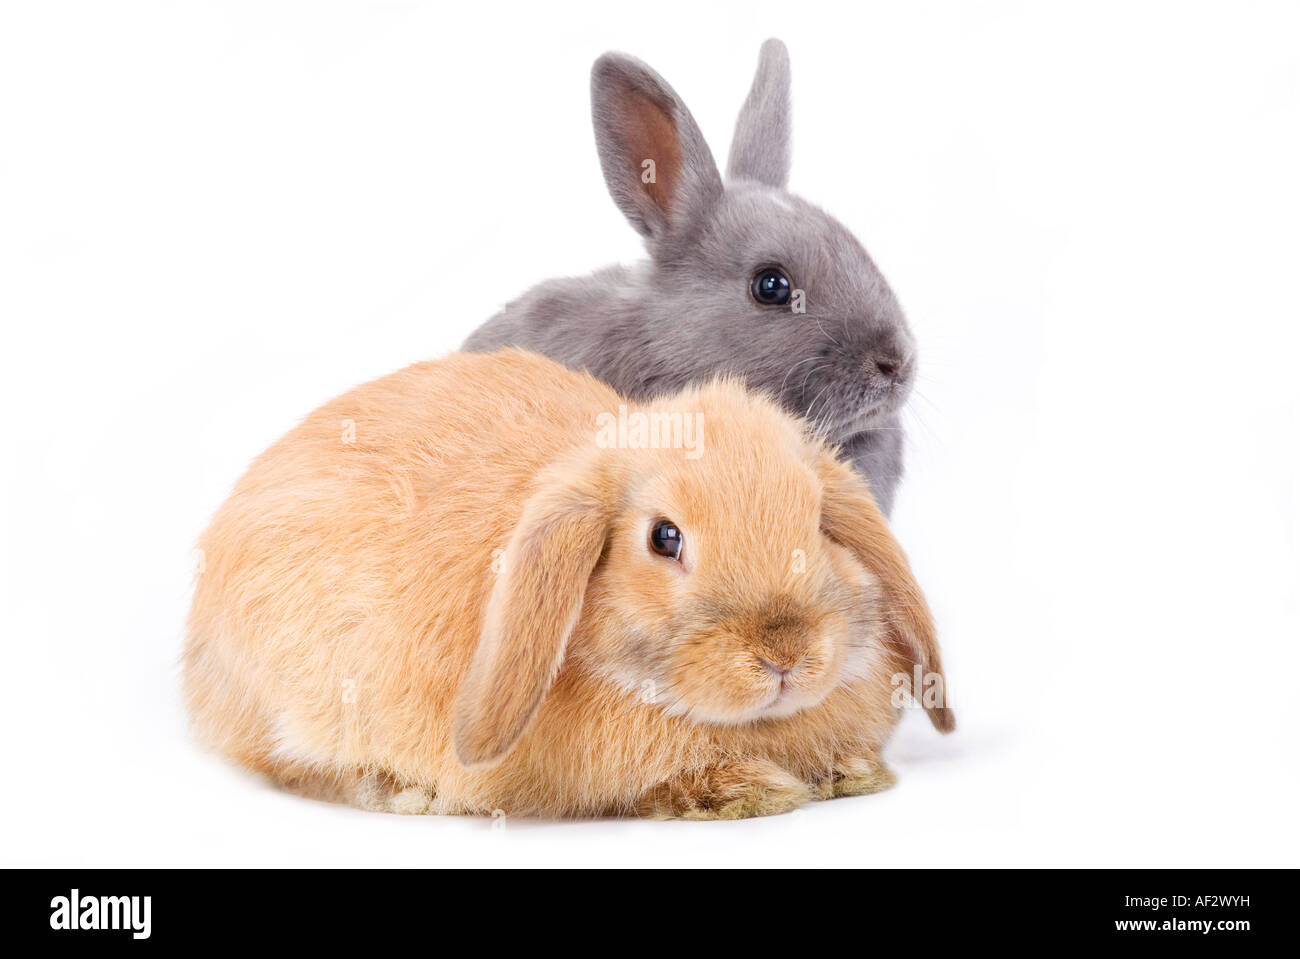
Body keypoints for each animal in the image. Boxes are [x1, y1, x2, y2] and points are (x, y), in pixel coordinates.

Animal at [183, 348, 953, 819]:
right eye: (664, 537)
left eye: (819, 521)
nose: (784, 652)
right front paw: (752, 791)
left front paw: (852, 772)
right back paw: (403, 791)